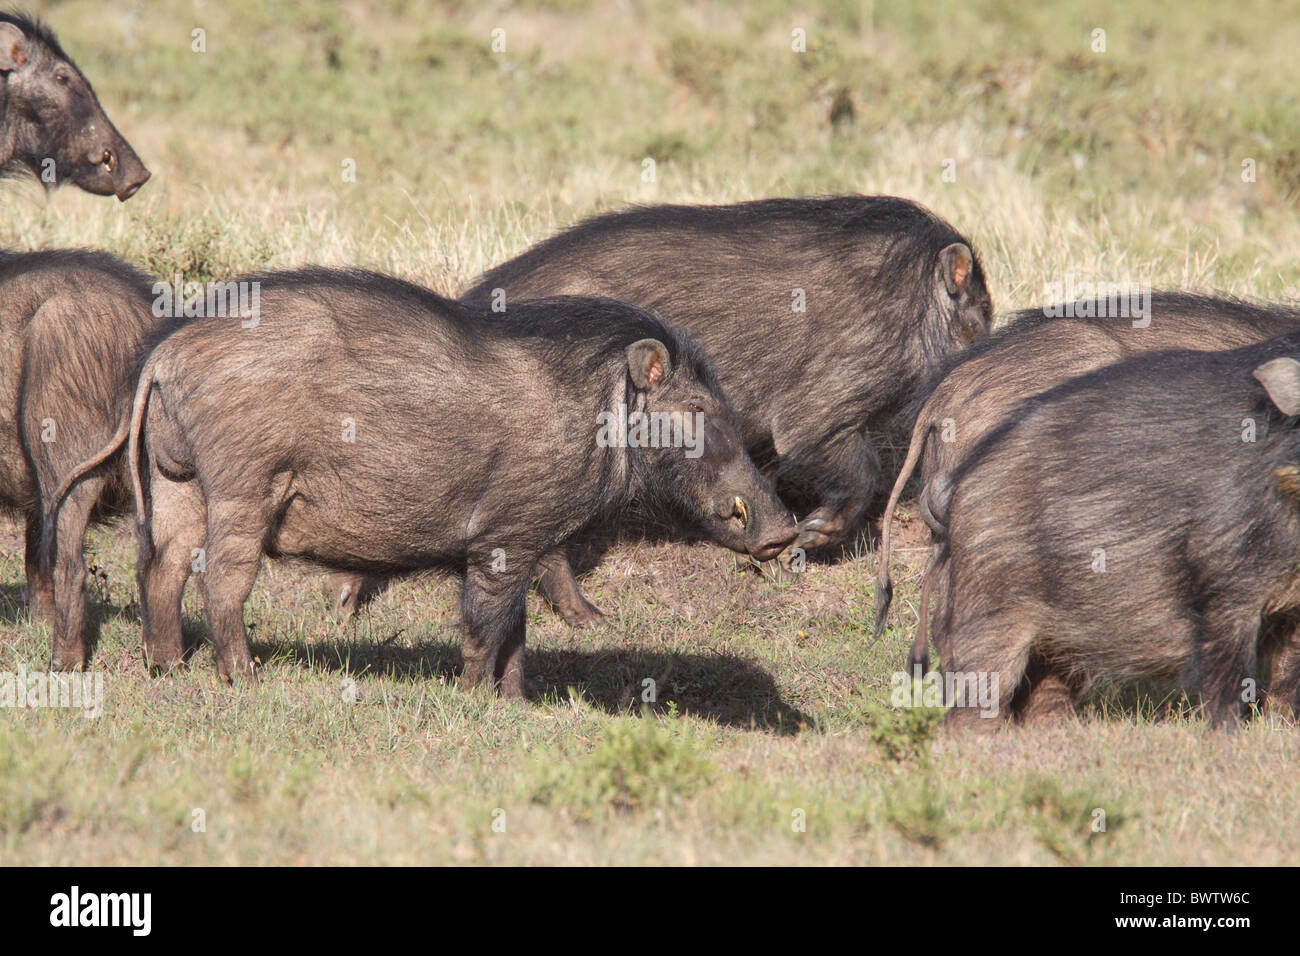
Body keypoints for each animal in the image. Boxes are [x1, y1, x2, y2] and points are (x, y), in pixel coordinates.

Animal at [50, 270, 797, 690]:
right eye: (696, 410)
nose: (783, 531)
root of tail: (166, 354)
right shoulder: (503, 537)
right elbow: (485, 627)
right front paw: (472, 700)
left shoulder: (524, 540)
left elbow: (517, 633)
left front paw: (516, 704)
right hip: (242, 485)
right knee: (219, 579)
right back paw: (245, 678)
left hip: (175, 480)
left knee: (161, 567)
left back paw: (168, 669)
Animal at [460, 195, 993, 624]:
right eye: (979, 320)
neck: (917, 307)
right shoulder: (819, 410)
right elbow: (861, 473)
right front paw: (805, 541)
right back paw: (590, 617)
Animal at [931, 331, 1300, 730]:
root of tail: (957, 489)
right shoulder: (1223, 587)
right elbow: (1228, 677)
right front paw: (1226, 735)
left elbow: (1287, 676)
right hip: (989, 608)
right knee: (978, 690)